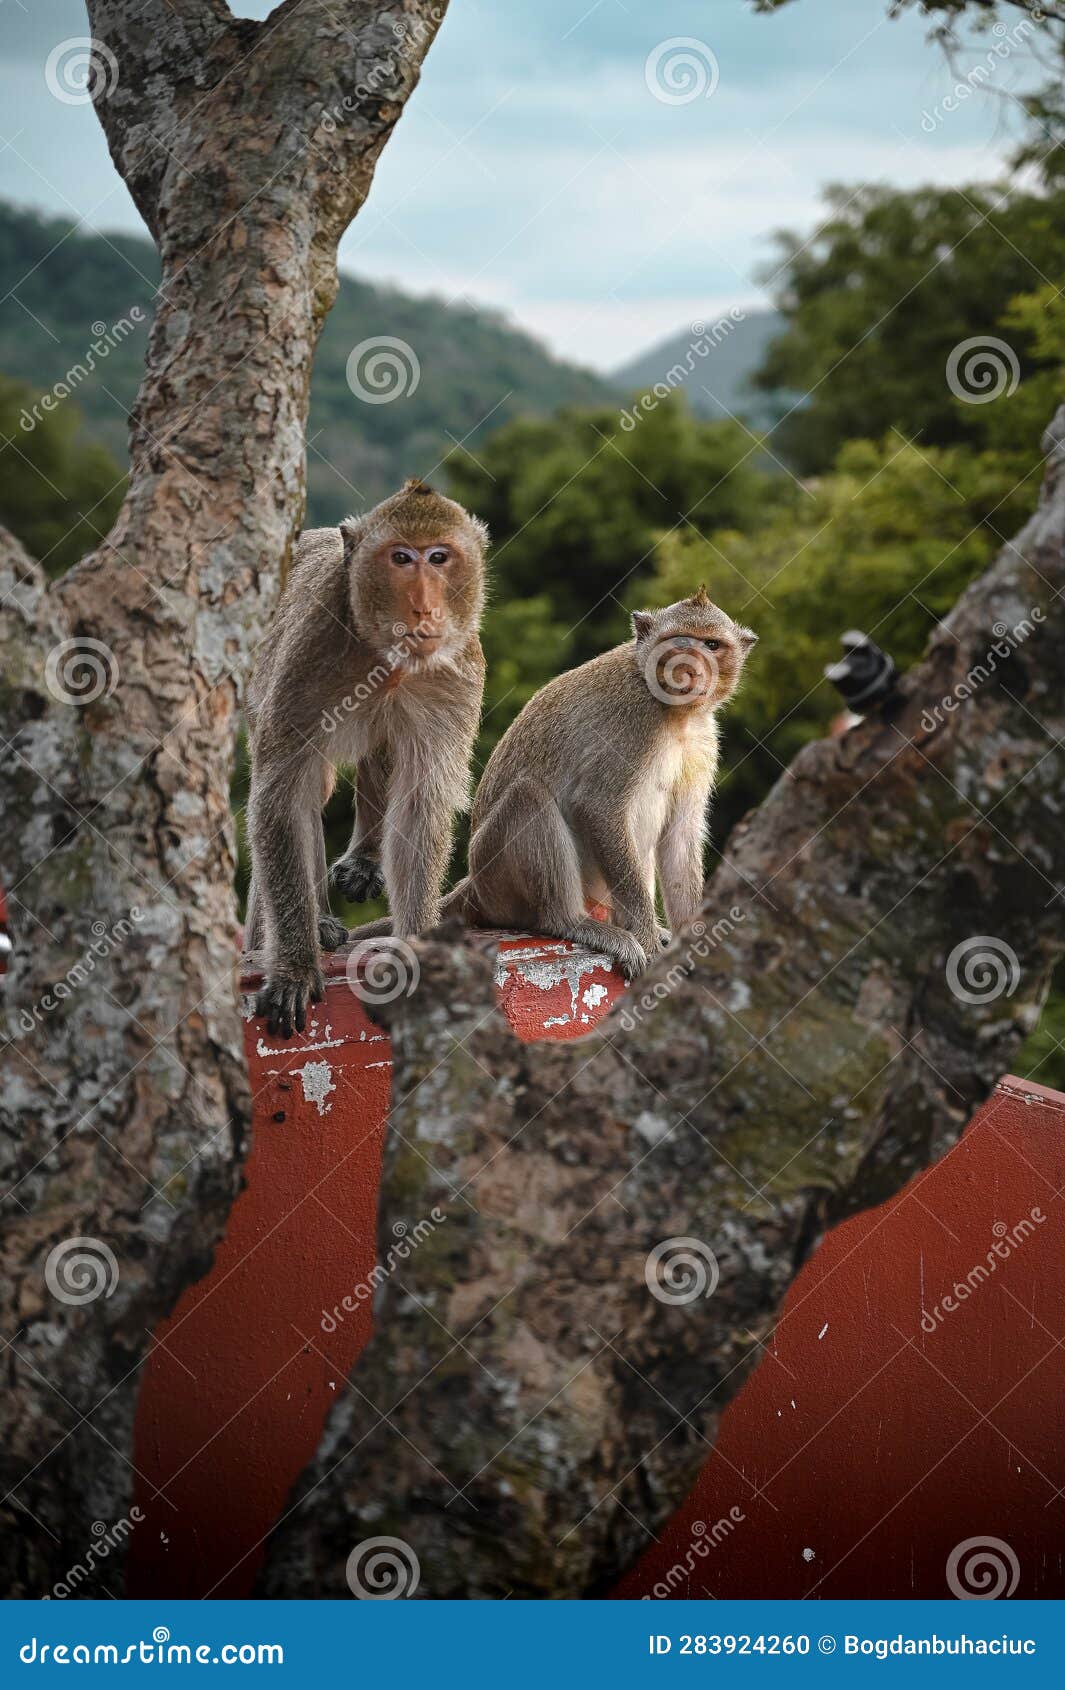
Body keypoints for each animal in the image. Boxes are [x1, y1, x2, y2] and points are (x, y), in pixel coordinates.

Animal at [244, 478, 488, 1037]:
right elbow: (281, 798)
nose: (423, 608)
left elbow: (420, 806)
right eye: (401, 558)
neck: (389, 661)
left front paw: (417, 951)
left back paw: (366, 857)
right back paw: (306, 926)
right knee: (308, 792)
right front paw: (294, 966)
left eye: (438, 557)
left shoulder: (457, 678)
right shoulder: (308, 656)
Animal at [350, 587, 756, 978]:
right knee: (528, 796)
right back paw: (569, 921)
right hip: (496, 878)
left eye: (711, 645)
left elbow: (680, 833)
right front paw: (646, 939)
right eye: (678, 641)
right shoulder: (634, 720)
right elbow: (597, 805)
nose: (689, 666)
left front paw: (693, 939)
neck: (677, 714)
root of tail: (473, 886)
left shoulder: (703, 742)